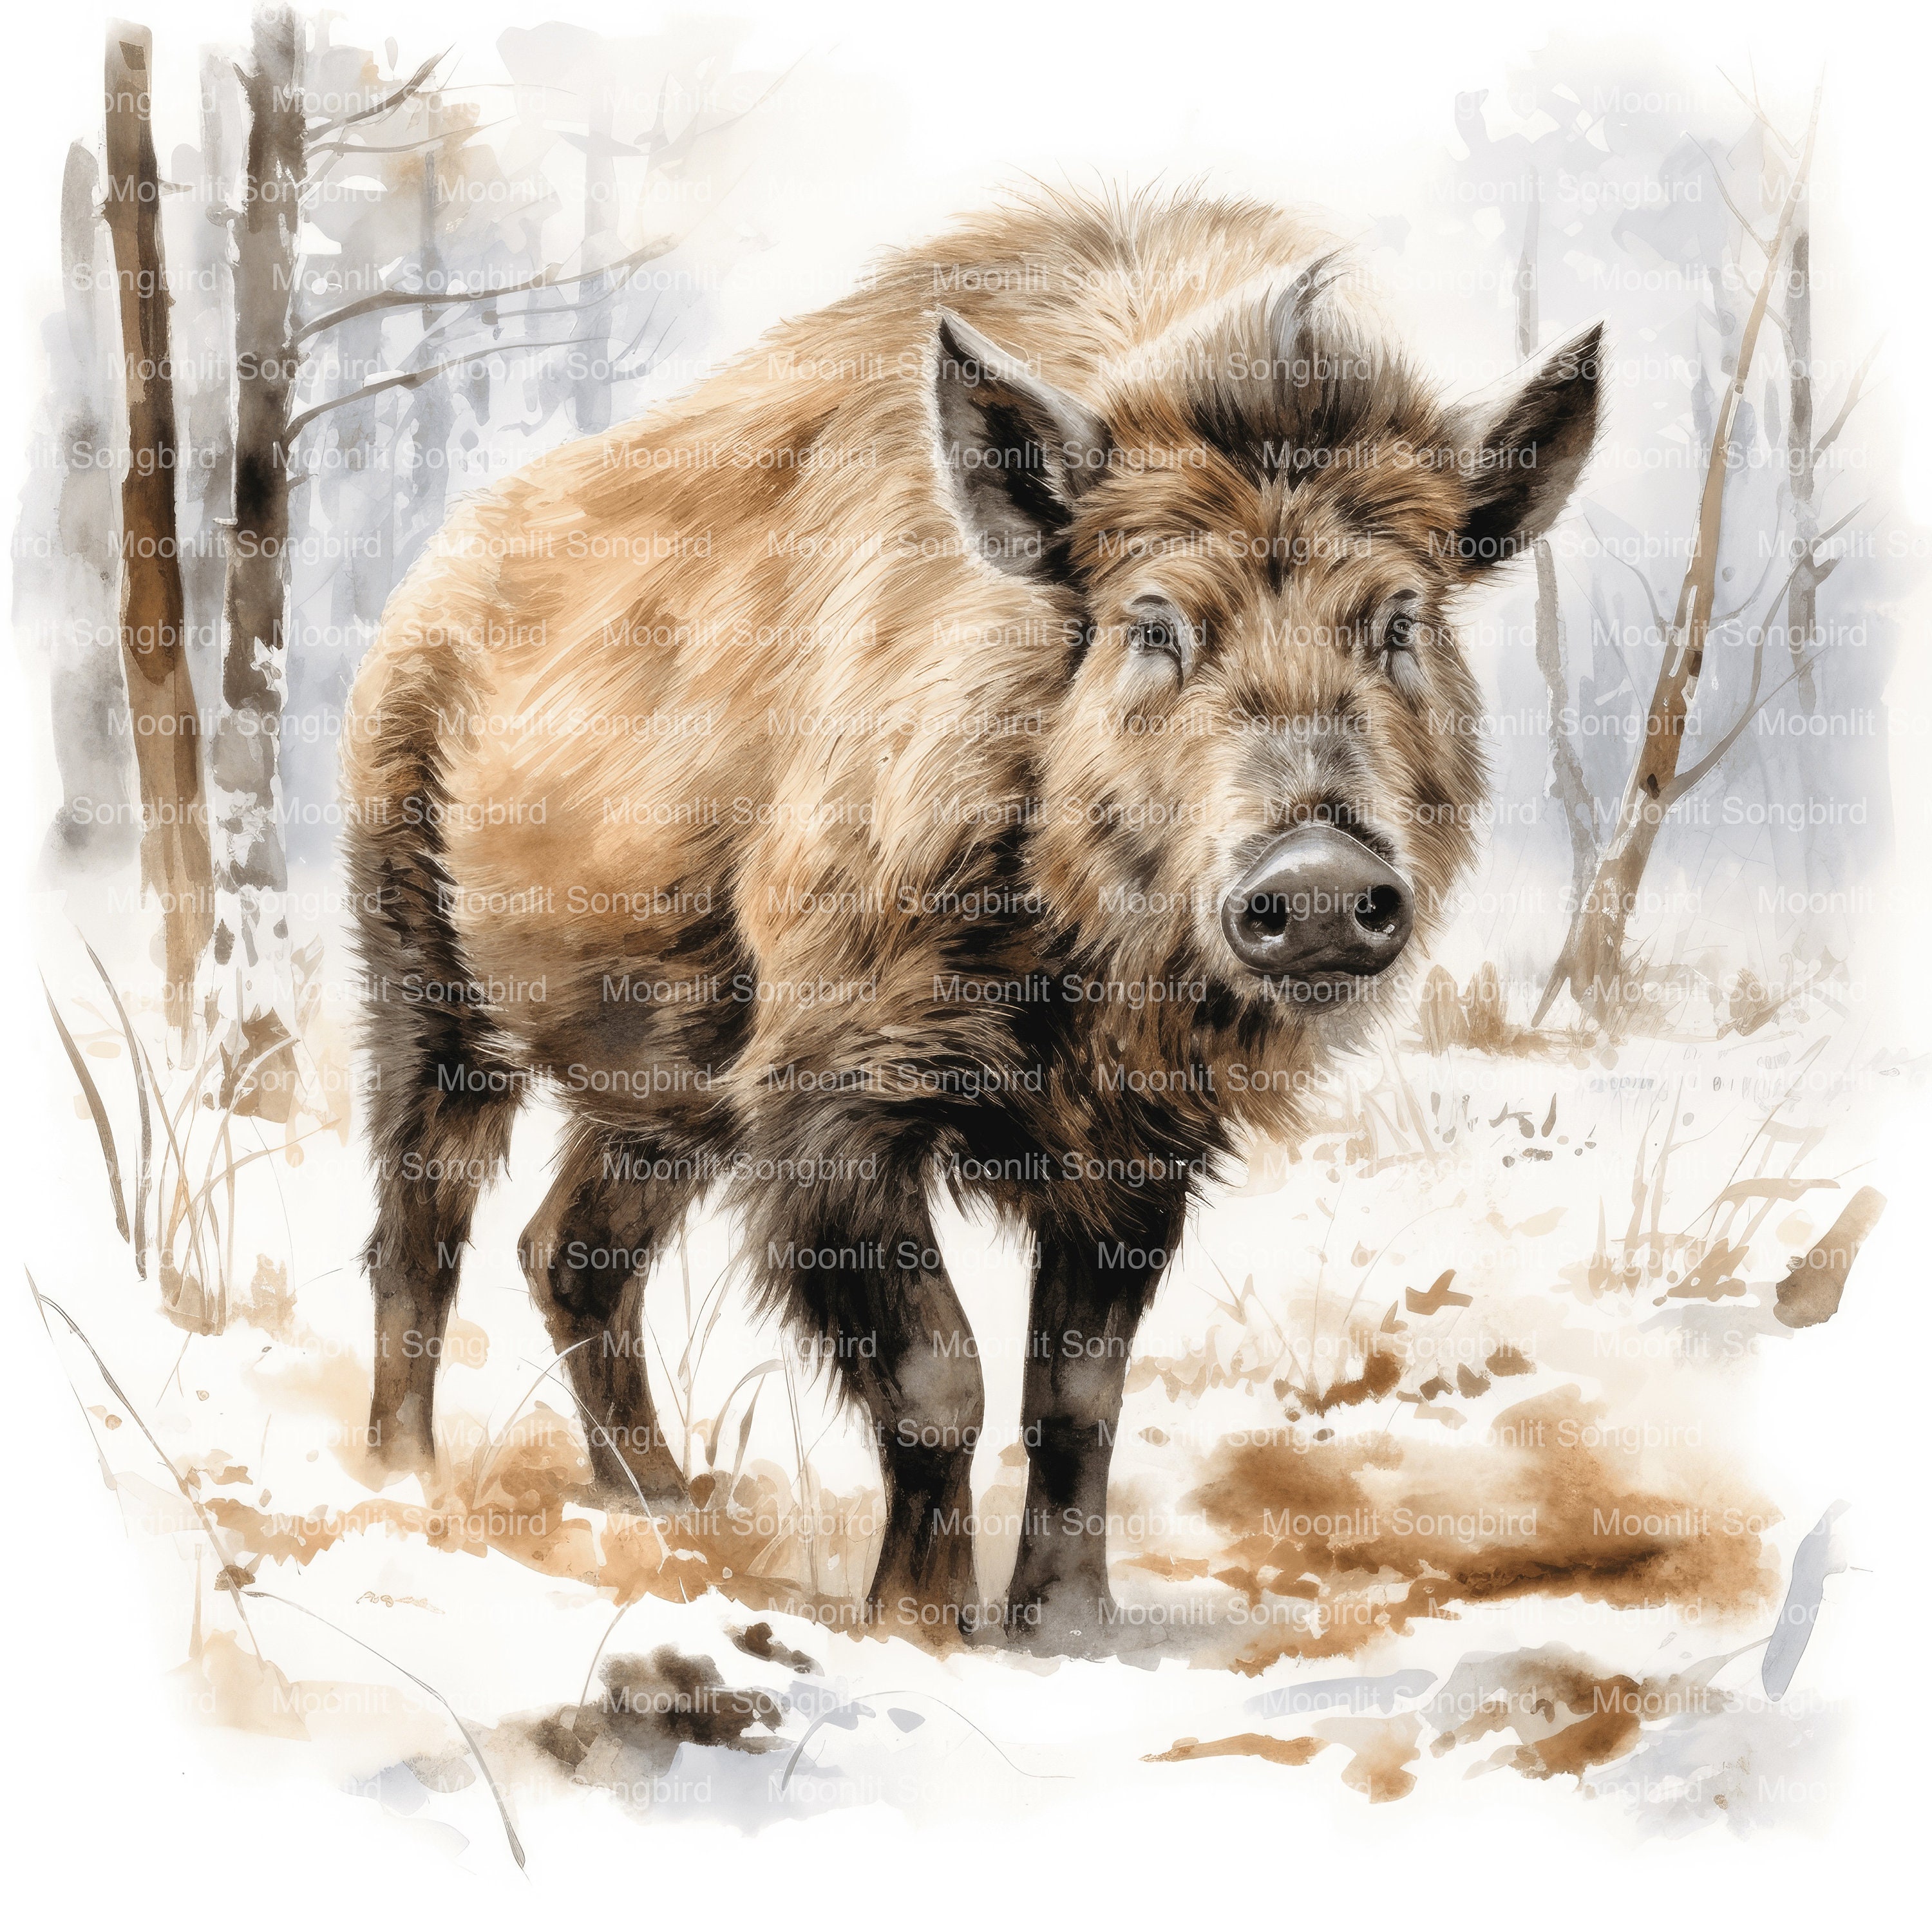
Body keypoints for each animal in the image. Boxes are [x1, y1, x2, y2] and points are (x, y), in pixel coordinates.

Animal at [342, 187, 1601, 1653]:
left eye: (1400, 622)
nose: (1323, 878)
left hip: (657, 1078)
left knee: (570, 1250)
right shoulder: (831, 1100)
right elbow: (939, 1380)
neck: (1072, 970)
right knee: (423, 1226)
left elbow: (1079, 1397)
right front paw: (919, 1628)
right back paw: (410, 1480)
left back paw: (665, 1502)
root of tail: (425, 594)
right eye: (1154, 624)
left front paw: (1071, 1629)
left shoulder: (1138, 1146)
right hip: (416, 968)